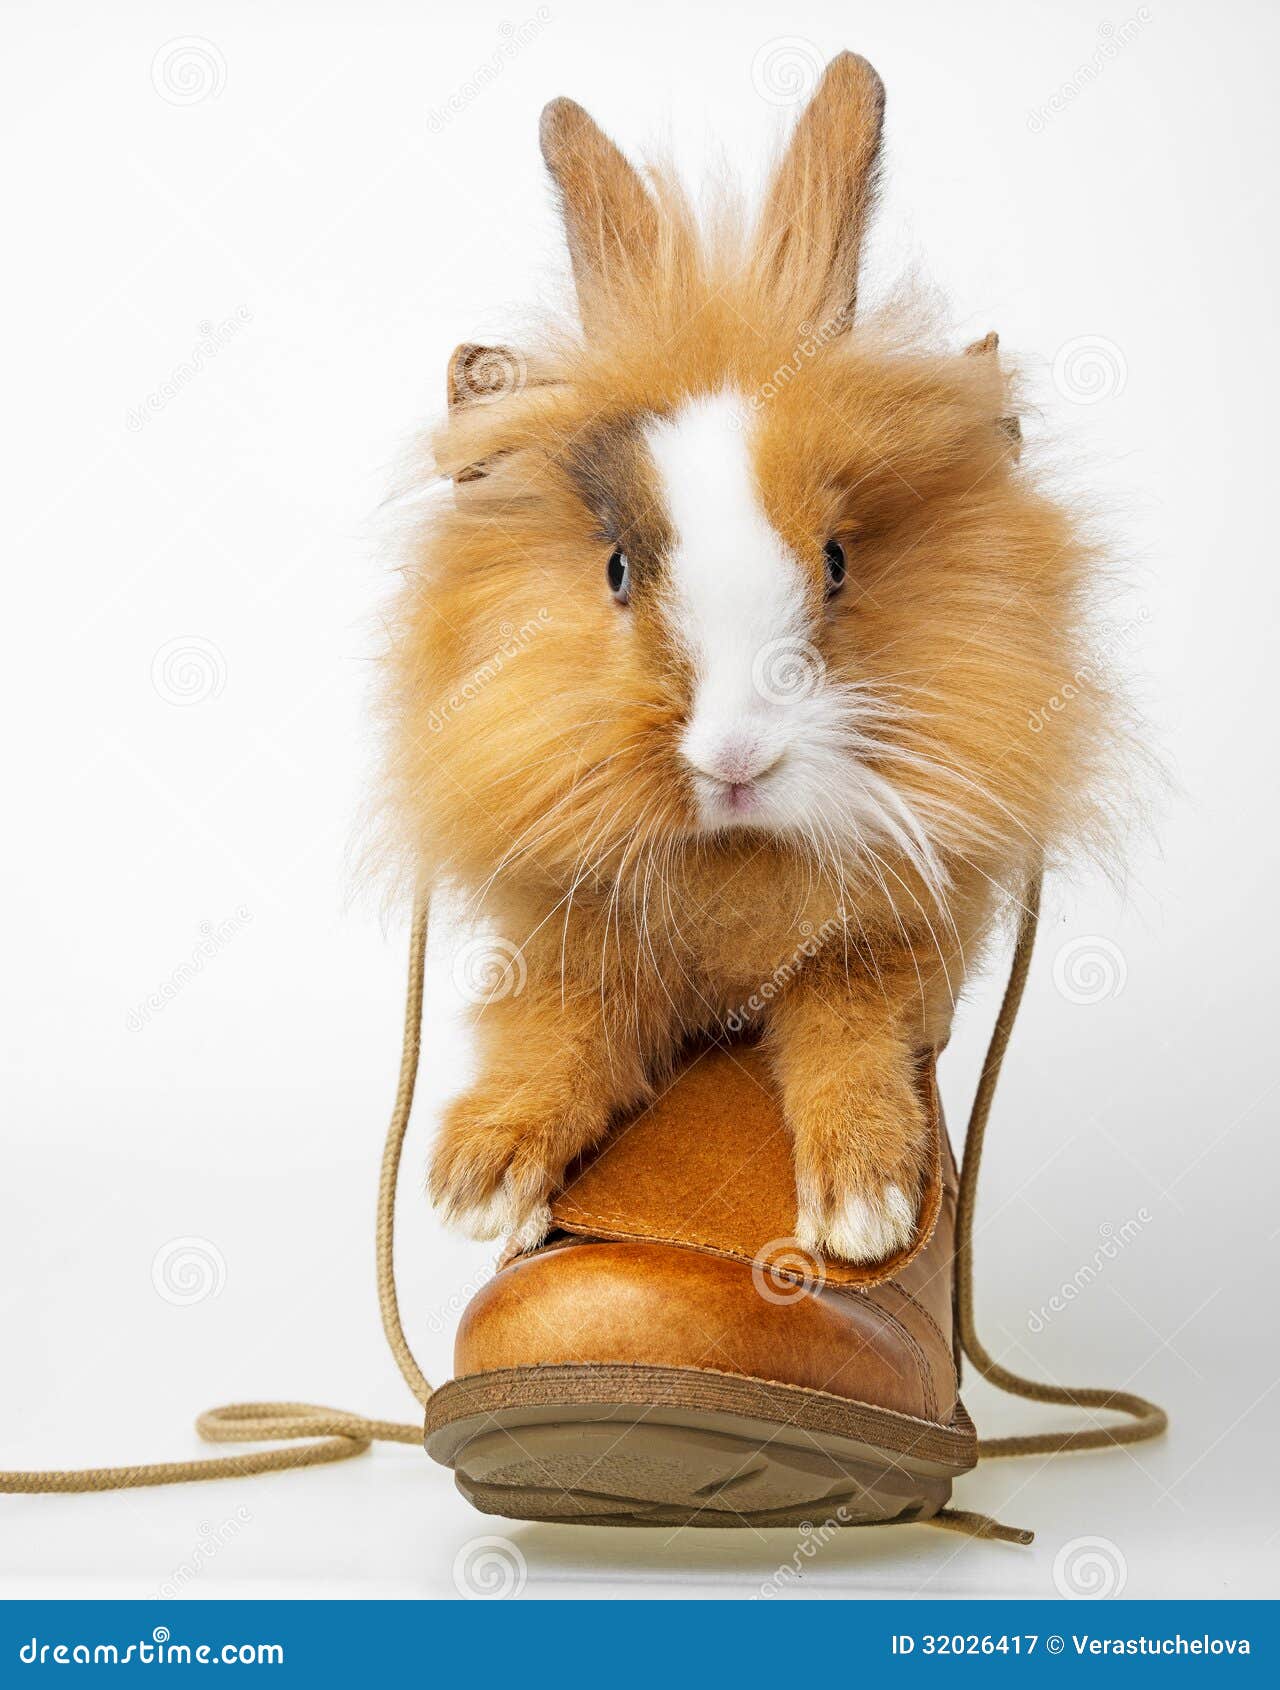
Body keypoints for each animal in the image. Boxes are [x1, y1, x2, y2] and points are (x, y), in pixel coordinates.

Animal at [384, 53, 1119, 1262]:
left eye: (836, 560)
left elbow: (848, 1034)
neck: (733, 859)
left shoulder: (886, 943)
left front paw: (864, 1205)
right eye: (617, 569)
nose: (735, 759)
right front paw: (480, 1183)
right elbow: (559, 1034)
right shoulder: (573, 938)